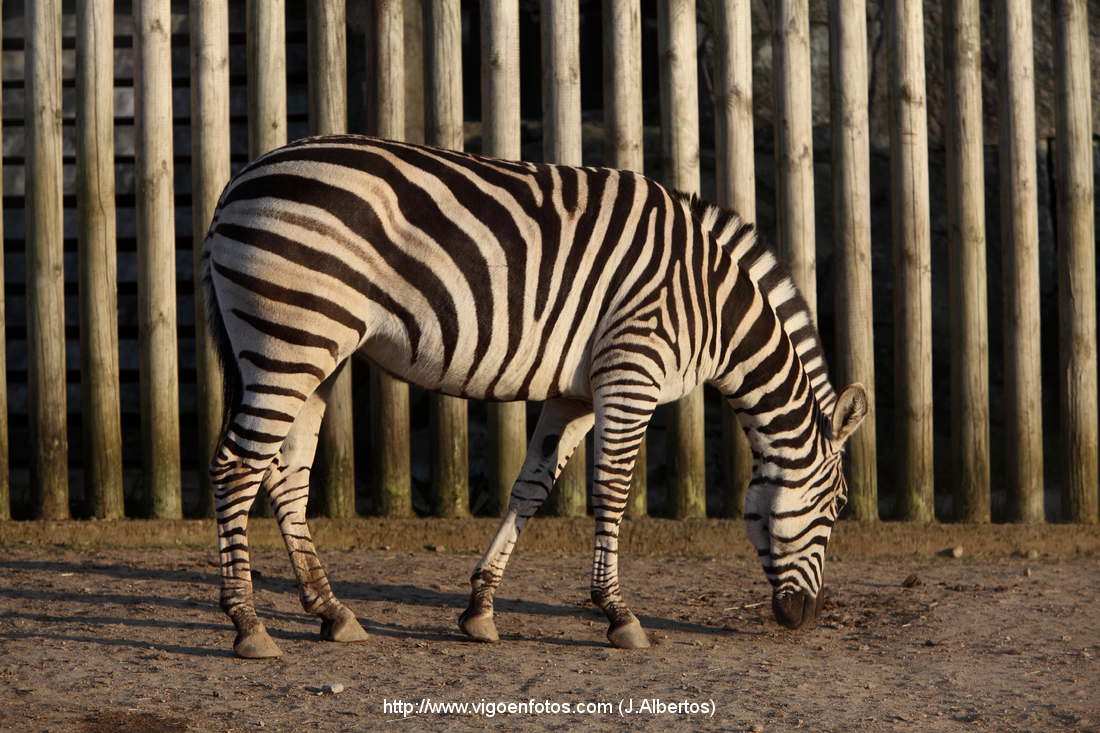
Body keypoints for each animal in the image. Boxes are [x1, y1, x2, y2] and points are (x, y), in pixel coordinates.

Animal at [200, 134, 868, 658]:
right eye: (835, 508)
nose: (803, 619)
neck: (711, 304)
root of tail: (238, 180)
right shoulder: (632, 372)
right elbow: (612, 492)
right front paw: (619, 616)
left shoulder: (577, 394)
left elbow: (532, 488)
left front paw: (480, 610)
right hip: (292, 339)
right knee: (237, 468)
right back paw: (248, 626)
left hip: (314, 352)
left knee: (285, 475)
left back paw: (331, 611)